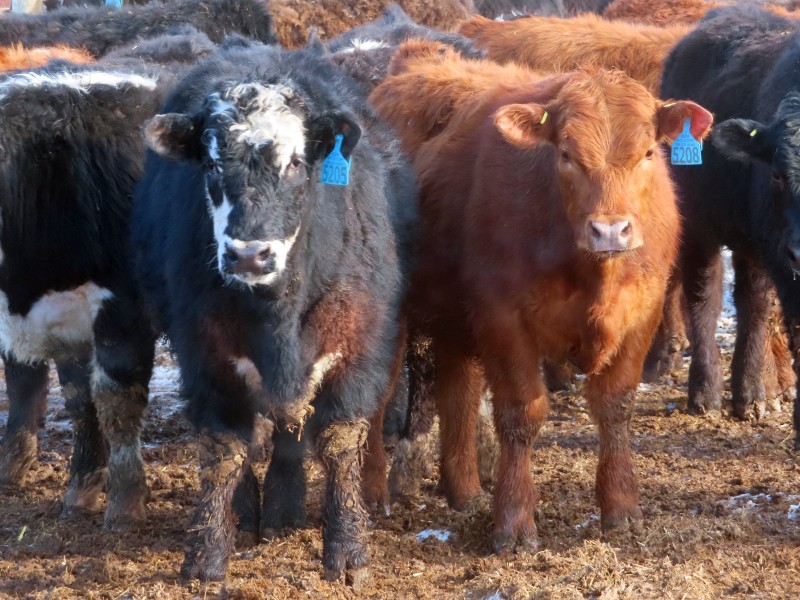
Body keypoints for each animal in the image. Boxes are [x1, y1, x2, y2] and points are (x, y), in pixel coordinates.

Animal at [131, 40, 416, 583]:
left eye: (296, 162)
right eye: (212, 166)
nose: (248, 254)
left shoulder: (356, 347)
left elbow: (339, 442)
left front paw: (347, 550)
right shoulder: (206, 356)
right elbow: (224, 450)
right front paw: (207, 554)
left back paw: (285, 506)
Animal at [369, 39, 711, 552]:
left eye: (649, 152)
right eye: (566, 154)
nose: (610, 230)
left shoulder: (642, 314)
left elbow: (615, 406)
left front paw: (621, 505)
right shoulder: (503, 317)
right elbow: (520, 414)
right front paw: (513, 520)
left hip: (455, 319)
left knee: (459, 389)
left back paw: (464, 490)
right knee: (376, 399)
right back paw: (372, 494)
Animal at [661, 5, 800, 433]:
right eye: (777, 173)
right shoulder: (783, 260)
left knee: (750, 302)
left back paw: (751, 394)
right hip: (700, 229)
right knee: (705, 296)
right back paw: (707, 393)